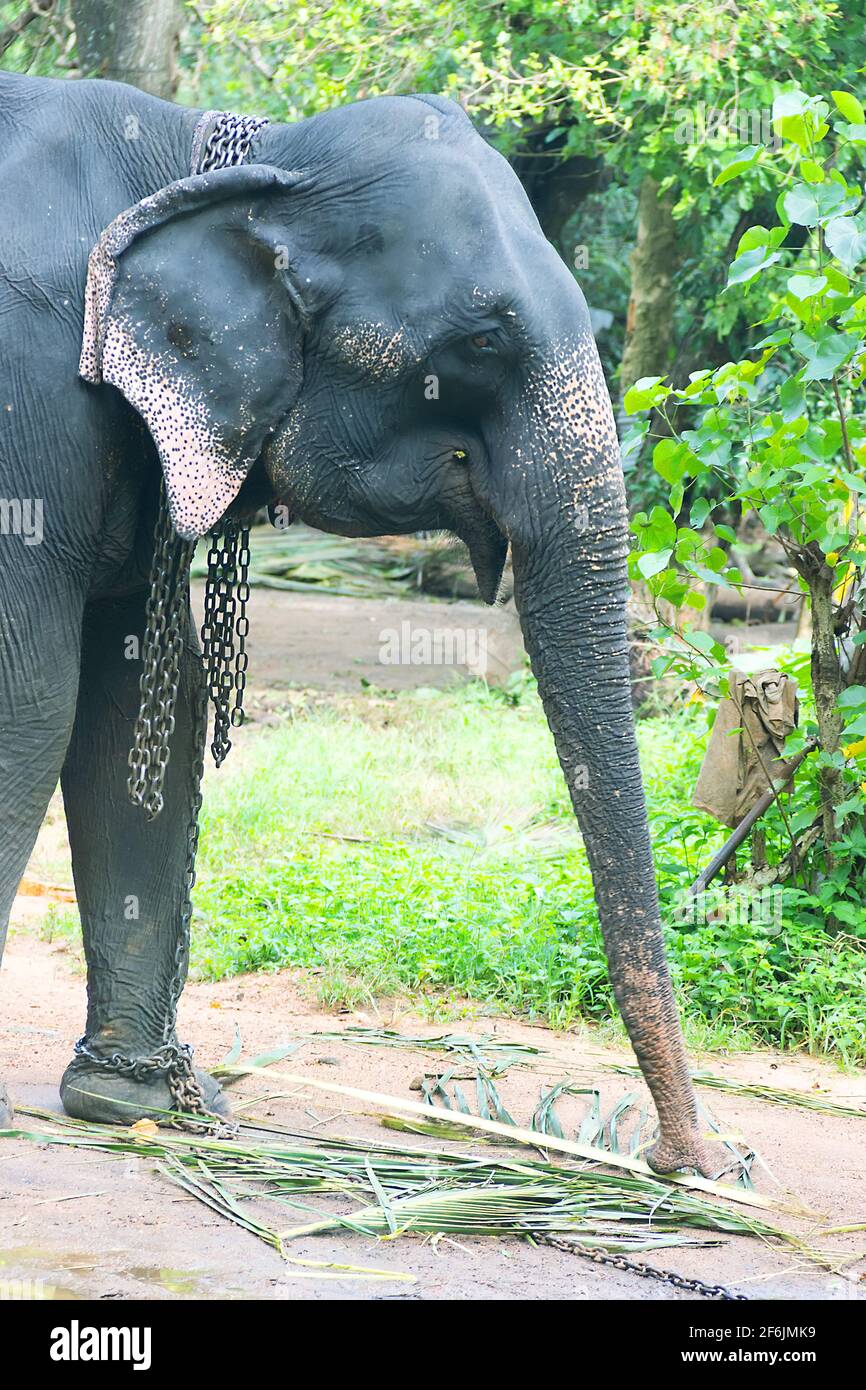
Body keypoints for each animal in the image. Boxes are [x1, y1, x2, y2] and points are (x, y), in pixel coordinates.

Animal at [0, 69, 713, 1176]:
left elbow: (136, 710)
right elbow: (32, 699)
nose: (675, 1161)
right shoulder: (26, 405)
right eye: (482, 341)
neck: (214, 159)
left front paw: (145, 1103)